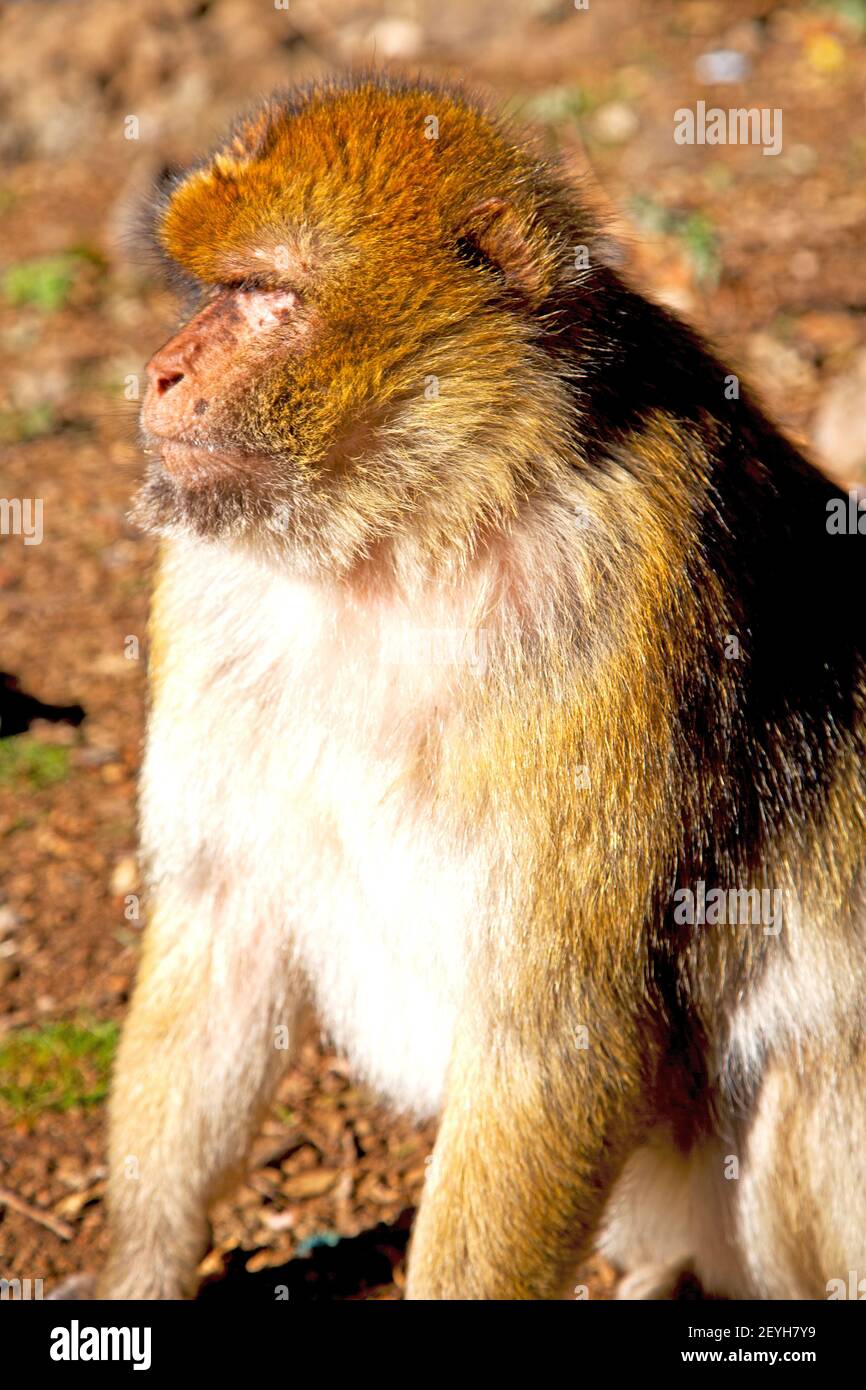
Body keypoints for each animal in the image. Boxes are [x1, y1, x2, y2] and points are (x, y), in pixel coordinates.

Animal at [96, 74, 866, 1301]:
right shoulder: (210, 590)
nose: (163, 369)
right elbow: (220, 929)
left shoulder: (634, 588)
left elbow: (554, 1035)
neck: (400, 541)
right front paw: (138, 1271)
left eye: (266, 296)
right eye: (216, 290)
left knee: (809, 1056)